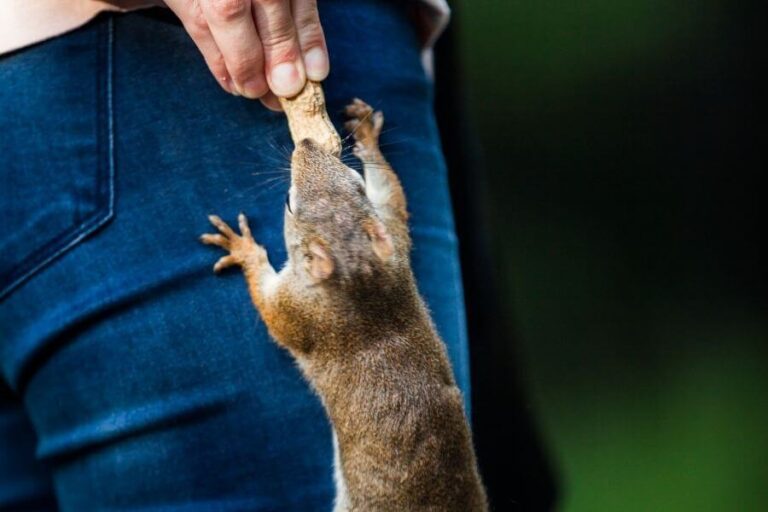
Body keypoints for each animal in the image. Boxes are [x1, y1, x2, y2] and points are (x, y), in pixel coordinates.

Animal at [201, 93, 488, 511]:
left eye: (289, 203)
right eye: (355, 181)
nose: (306, 144)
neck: (360, 275)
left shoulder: (299, 310)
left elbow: (272, 313)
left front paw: (242, 248)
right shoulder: (393, 246)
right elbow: (392, 198)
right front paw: (367, 135)